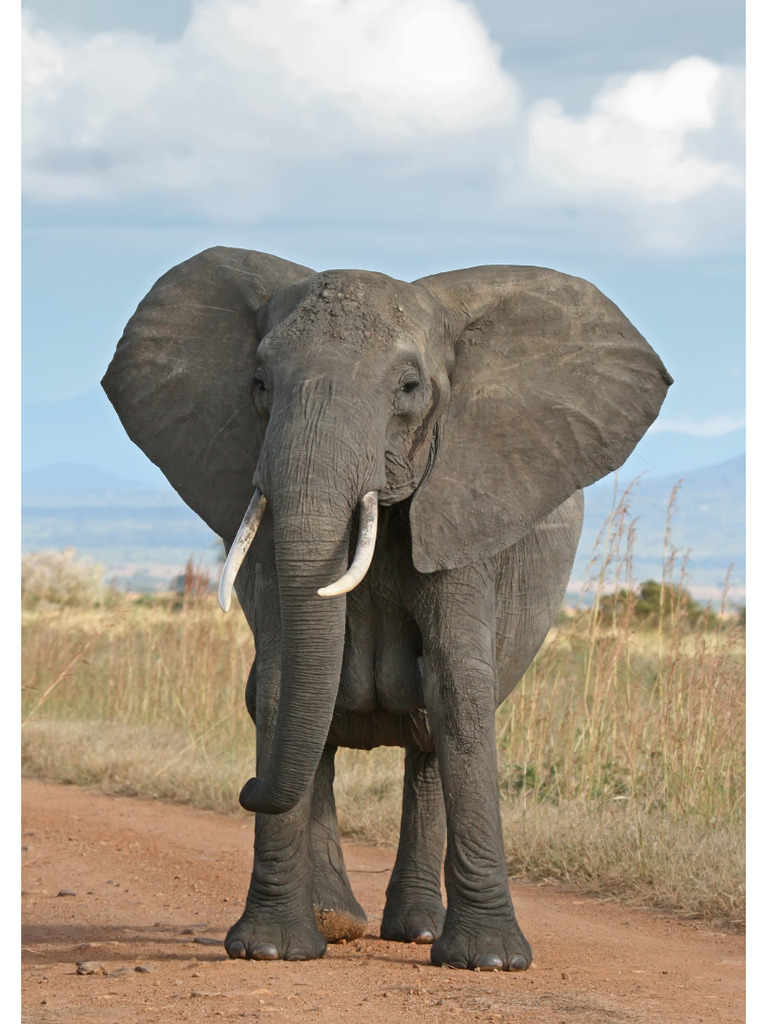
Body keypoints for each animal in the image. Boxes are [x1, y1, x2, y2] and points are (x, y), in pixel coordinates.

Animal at [102, 246, 671, 971]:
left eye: (408, 388)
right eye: (259, 384)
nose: (246, 790)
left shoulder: (465, 502)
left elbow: (458, 684)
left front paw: (490, 962)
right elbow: (283, 679)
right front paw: (270, 950)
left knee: (429, 734)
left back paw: (418, 933)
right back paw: (338, 921)